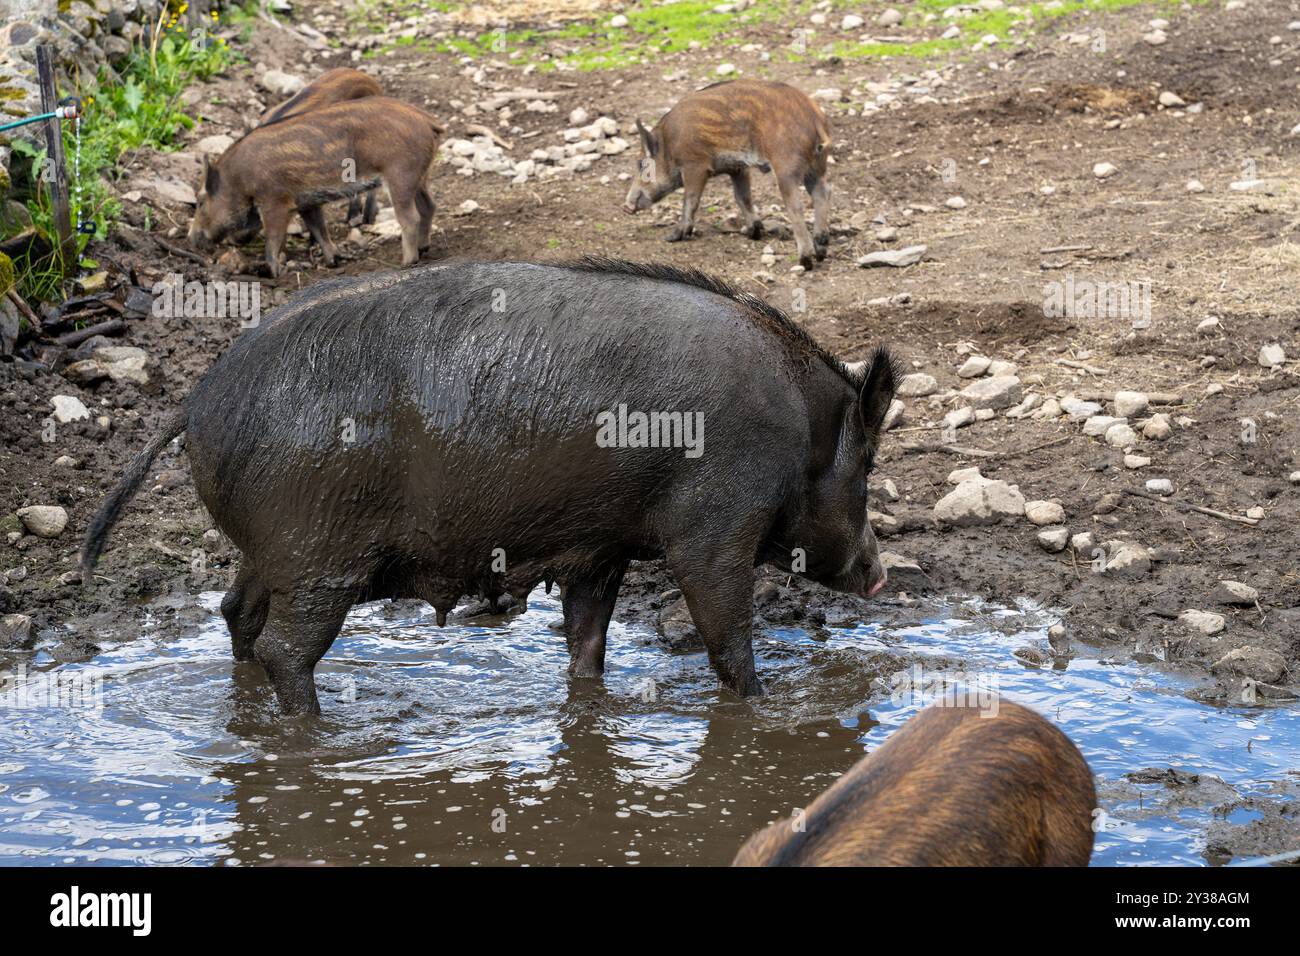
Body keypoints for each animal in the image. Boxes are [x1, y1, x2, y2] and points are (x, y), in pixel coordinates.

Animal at [80, 258, 897, 716]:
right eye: (867, 467)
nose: (882, 575)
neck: (796, 430)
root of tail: (196, 401)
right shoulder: (712, 525)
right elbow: (727, 637)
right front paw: (766, 711)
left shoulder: (597, 546)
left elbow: (587, 641)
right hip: (317, 551)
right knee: (286, 649)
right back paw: (319, 731)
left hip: (271, 550)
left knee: (235, 612)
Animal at [187, 96, 445, 277]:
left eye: (200, 202)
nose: (191, 239)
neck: (239, 179)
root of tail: (428, 120)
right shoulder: (307, 202)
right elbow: (318, 228)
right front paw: (333, 261)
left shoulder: (275, 201)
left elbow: (273, 239)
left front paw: (271, 272)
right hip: (420, 176)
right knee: (429, 206)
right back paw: (424, 248)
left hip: (400, 175)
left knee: (410, 217)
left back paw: (406, 263)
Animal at [624, 79, 833, 270]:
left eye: (641, 164)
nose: (626, 207)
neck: (669, 145)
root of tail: (814, 117)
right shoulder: (738, 168)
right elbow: (742, 197)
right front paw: (753, 233)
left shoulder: (695, 165)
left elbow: (690, 199)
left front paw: (672, 237)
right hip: (817, 167)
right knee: (822, 194)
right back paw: (821, 251)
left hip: (786, 165)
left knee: (796, 205)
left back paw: (805, 261)